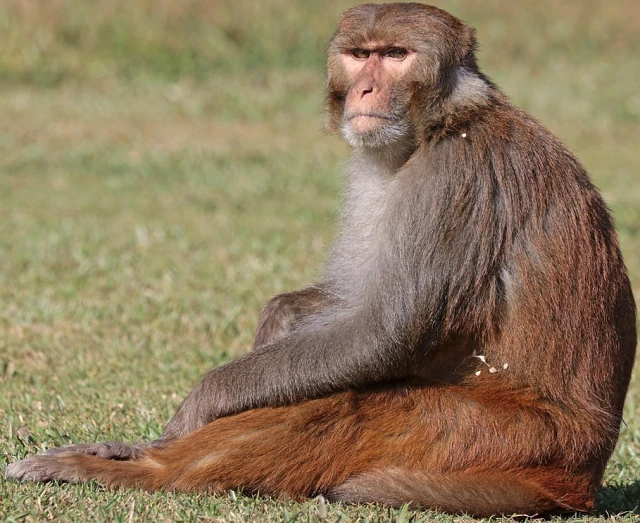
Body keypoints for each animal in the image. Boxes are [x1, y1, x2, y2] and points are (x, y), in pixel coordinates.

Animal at [5, 3, 637, 517]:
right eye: (360, 56)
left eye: (396, 55)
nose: (364, 93)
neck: (439, 126)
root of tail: (578, 477)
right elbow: (346, 305)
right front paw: (279, 317)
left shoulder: (454, 179)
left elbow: (381, 333)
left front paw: (194, 412)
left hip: (494, 438)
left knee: (345, 408)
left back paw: (142, 470)